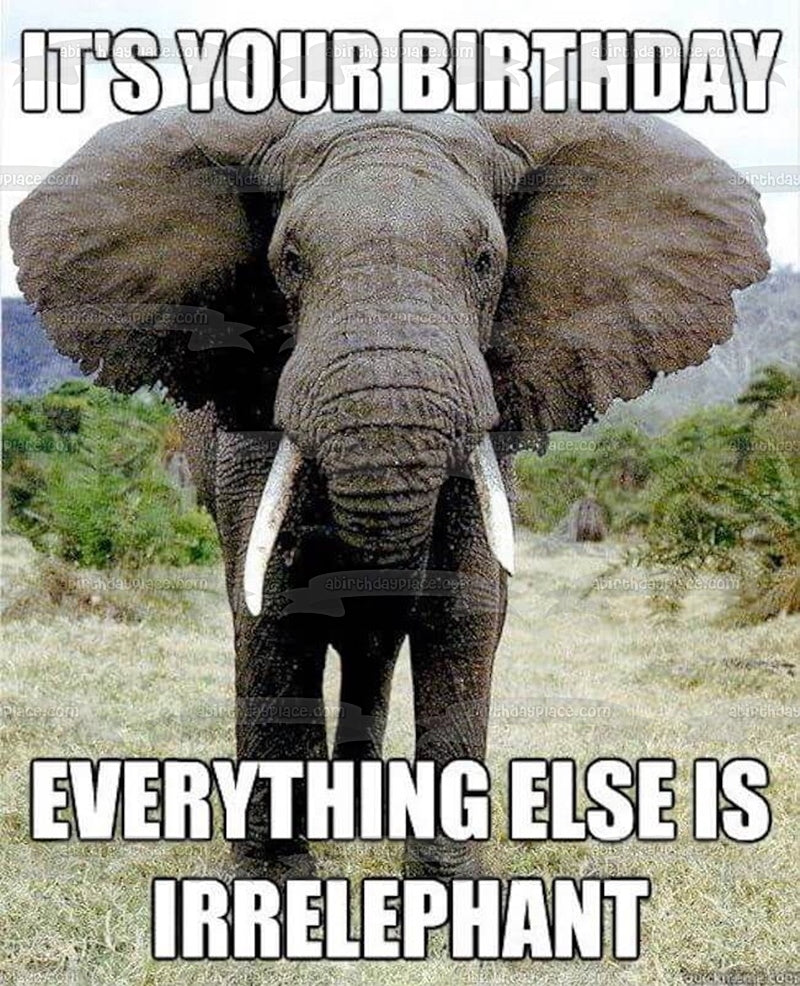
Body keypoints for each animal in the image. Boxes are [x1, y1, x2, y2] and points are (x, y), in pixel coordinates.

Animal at [10, 105, 768, 880]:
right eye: (289, 261)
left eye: (486, 261)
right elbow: (274, 601)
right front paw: (273, 881)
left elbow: (463, 604)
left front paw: (446, 886)